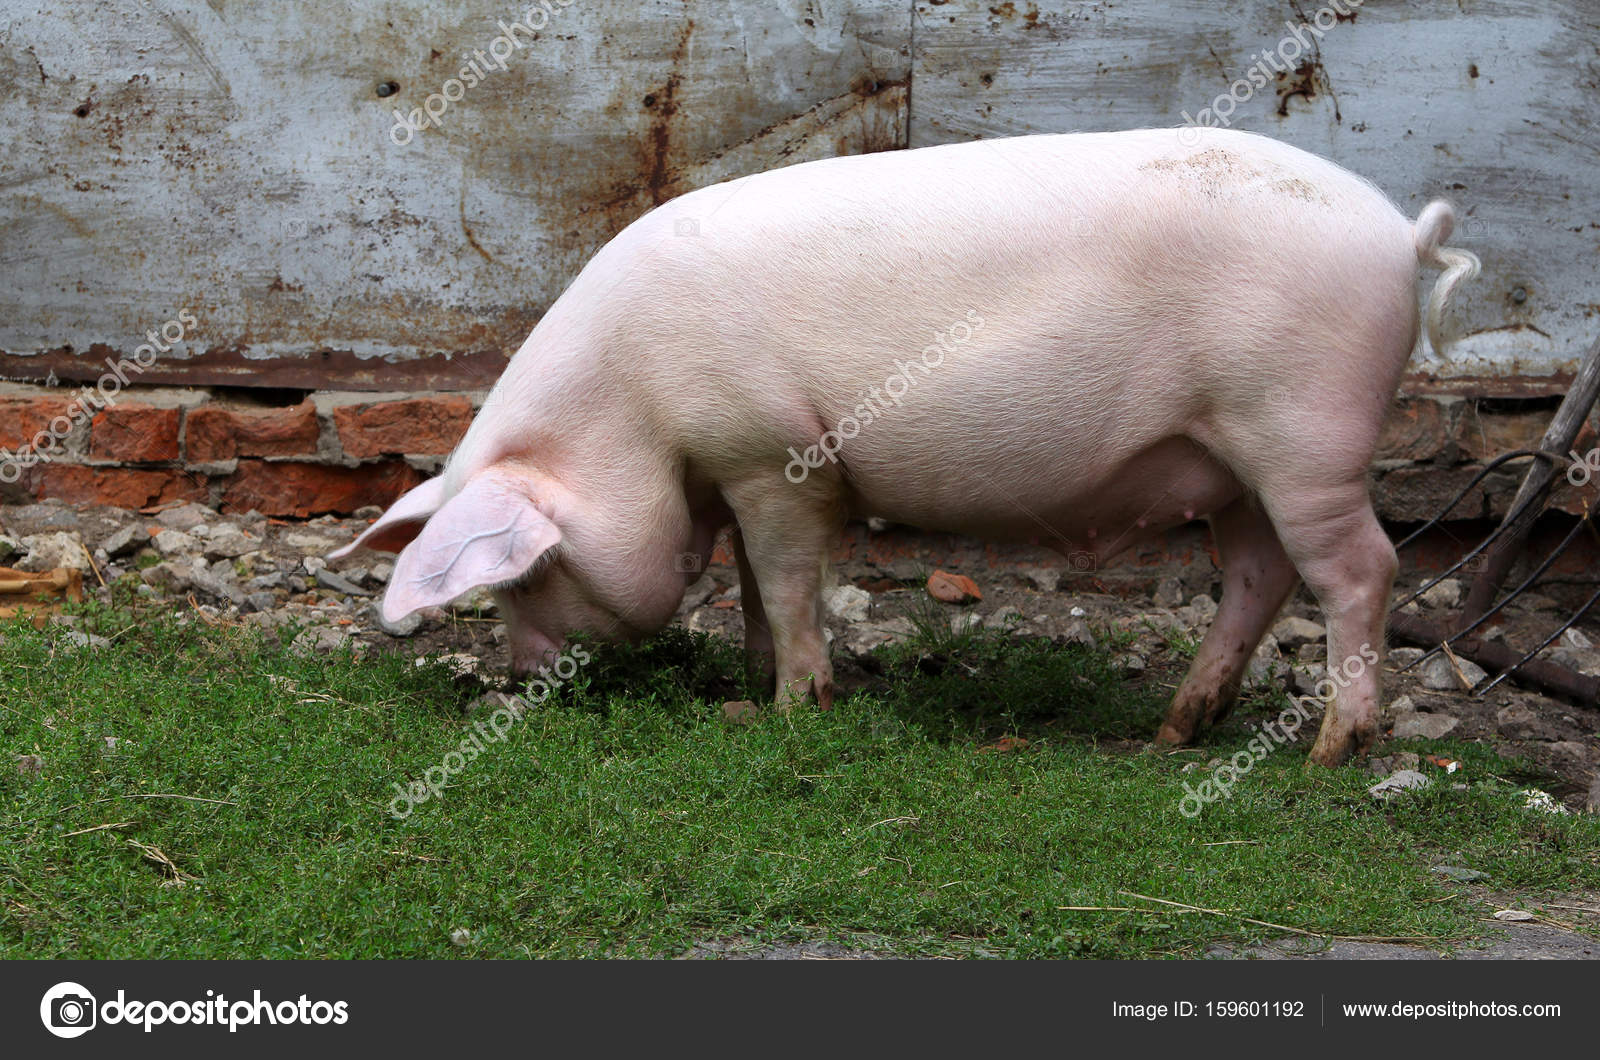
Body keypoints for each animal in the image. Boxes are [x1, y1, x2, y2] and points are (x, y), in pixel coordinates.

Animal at [331, 128, 1480, 767]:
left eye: (524, 578)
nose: (521, 676)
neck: (632, 410)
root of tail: (1399, 235)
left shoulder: (772, 454)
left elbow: (786, 579)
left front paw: (791, 710)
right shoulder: (742, 470)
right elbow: (755, 588)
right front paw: (756, 685)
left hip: (1305, 428)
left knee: (1359, 569)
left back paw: (1328, 757)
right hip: (1235, 458)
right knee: (1257, 572)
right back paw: (1172, 731)